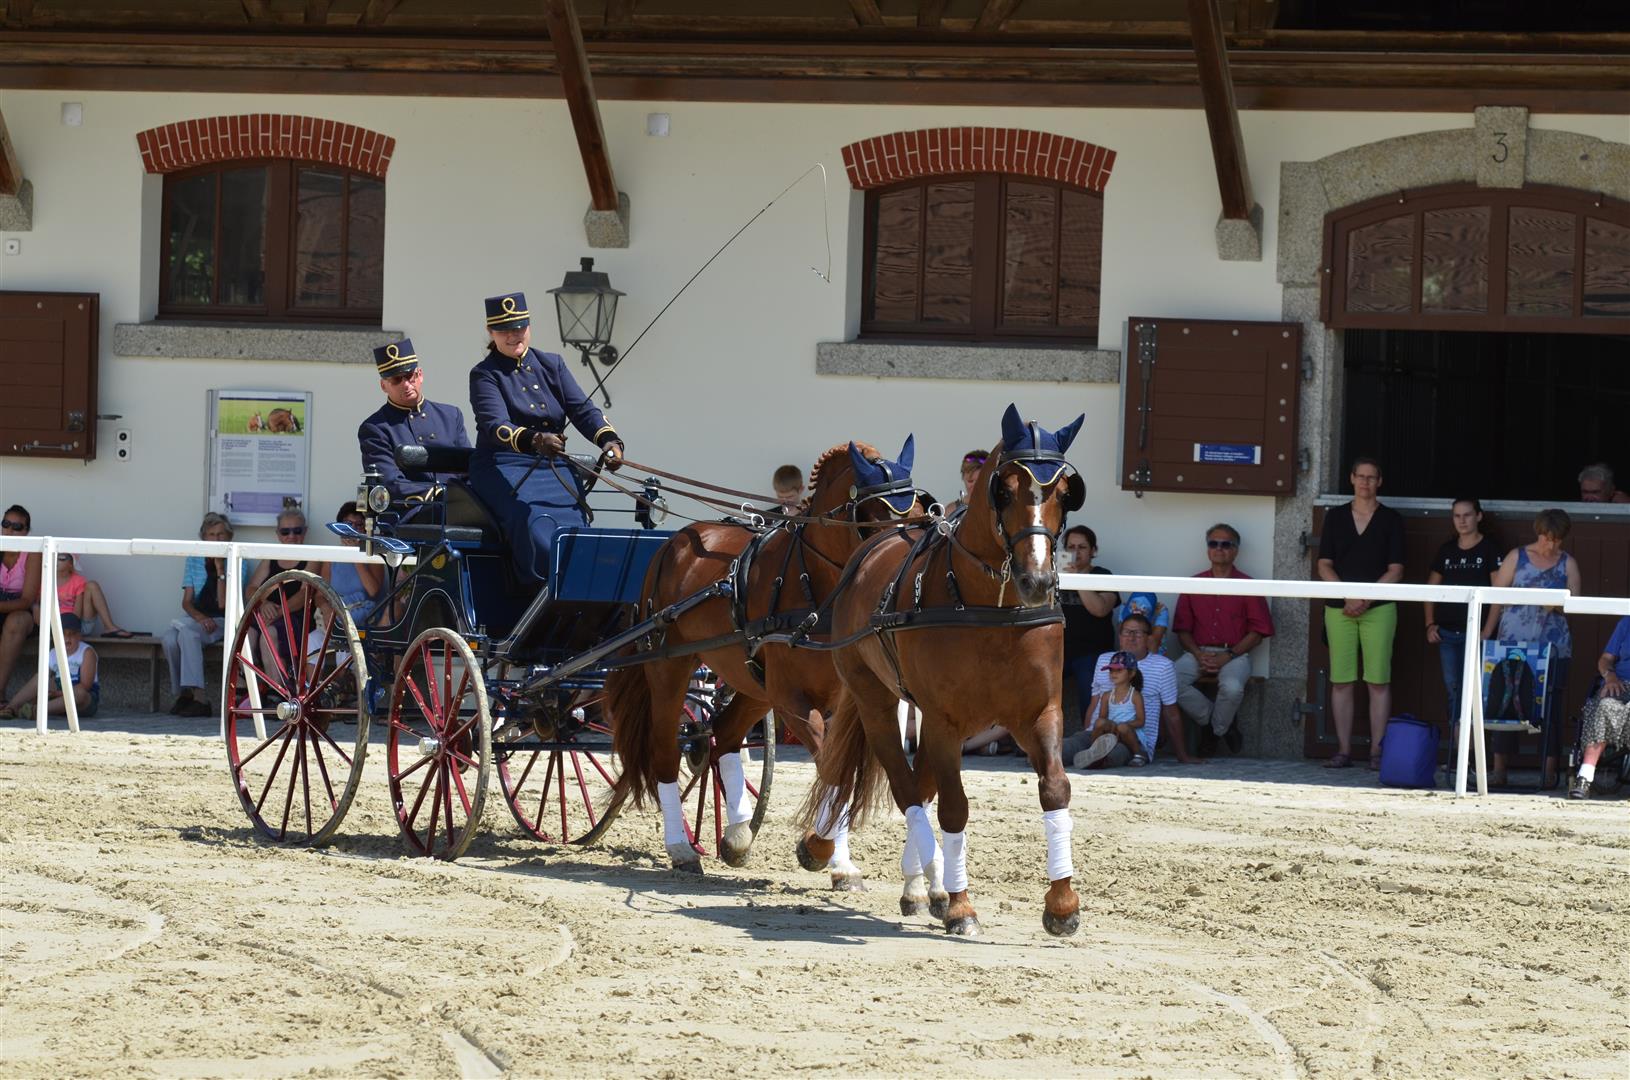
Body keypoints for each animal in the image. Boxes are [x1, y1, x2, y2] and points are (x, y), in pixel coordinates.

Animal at [606, 437, 924, 879]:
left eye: (919, 509)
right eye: (875, 515)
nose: (899, 572)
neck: (817, 588)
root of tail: (674, 542)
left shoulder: (848, 696)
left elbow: (839, 767)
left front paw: (837, 861)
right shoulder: (792, 700)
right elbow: (831, 766)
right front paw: (820, 851)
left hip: (754, 683)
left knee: (723, 736)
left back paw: (738, 836)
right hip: (669, 666)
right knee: (665, 751)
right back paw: (681, 848)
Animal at [802, 404, 1085, 937]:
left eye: (1064, 493)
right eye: (1005, 490)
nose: (1037, 581)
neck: (990, 605)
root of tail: (872, 548)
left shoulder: (1039, 713)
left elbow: (1055, 789)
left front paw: (1062, 903)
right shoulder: (944, 721)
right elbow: (953, 808)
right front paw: (960, 905)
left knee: (919, 784)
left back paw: (919, 884)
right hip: (878, 703)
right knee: (906, 786)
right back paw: (922, 879)